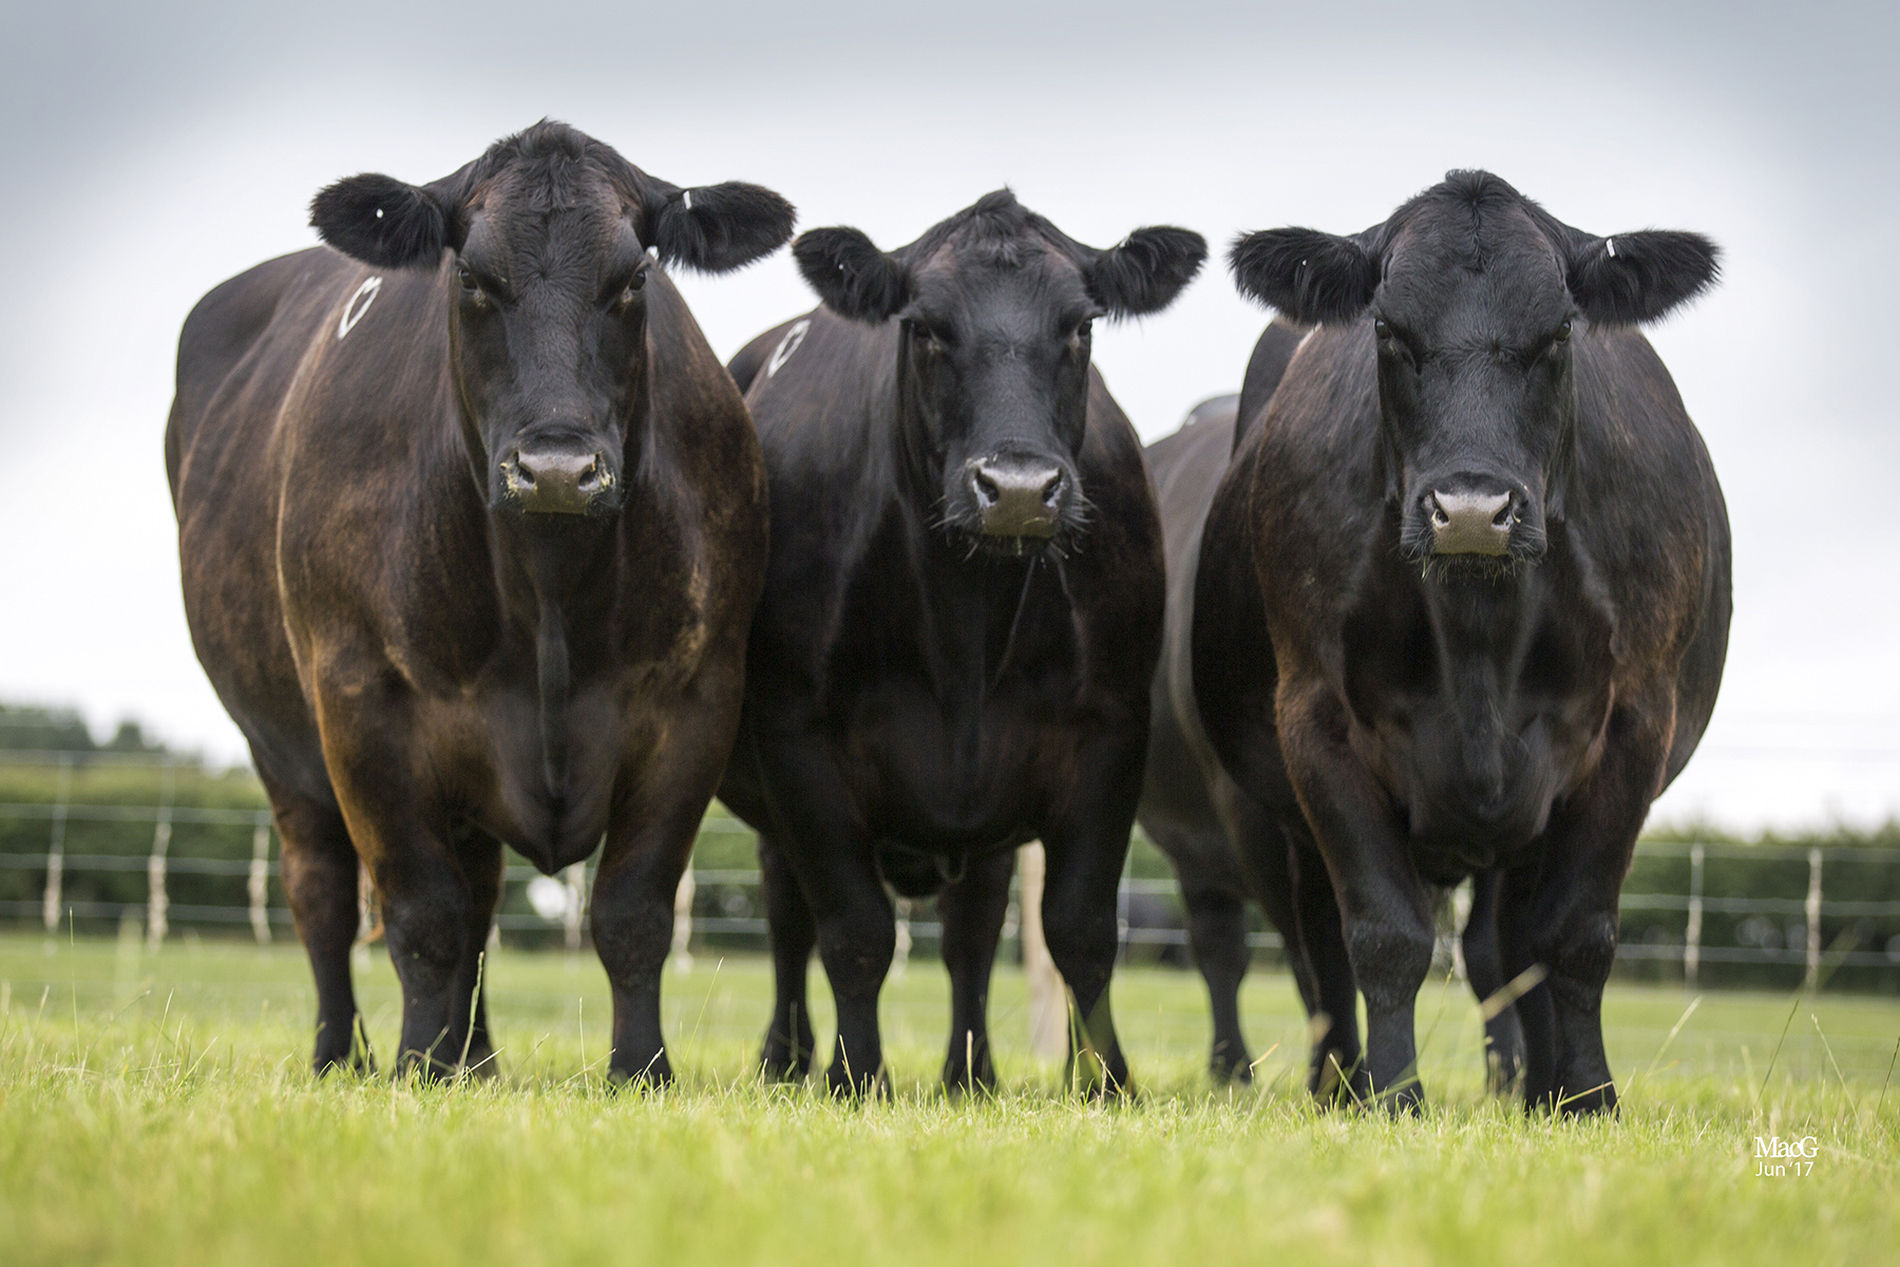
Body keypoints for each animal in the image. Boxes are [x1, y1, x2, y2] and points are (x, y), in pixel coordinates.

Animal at [165, 121, 793, 1082]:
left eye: (635, 277)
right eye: (470, 278)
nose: (557, 469)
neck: (549, 592)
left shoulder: (698, 702)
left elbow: (632, 912)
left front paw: (640, 1069)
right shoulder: (361, 704)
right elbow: (424, 915)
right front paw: (415, 1065)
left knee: (482, 898)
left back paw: (479, 1059)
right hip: (280, 745)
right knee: (323, 897)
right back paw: (344, 1054)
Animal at [718, 190, 1204, 1095]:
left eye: (1080, 325)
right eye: (926, 328)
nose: (1016, 488)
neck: (968, 629)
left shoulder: (1111, 735)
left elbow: (1079, 927)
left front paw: (1106, 1081)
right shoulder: (799, 742)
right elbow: (854, 929)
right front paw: (855, 1077)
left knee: (972, 931)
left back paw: (969, 1072)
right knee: (789, 916)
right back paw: (788, 1058)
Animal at [1139, 373, 1524, 1093]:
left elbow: (1492, 950)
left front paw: (1511, 1075)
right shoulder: (1267, 816)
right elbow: (1313, 952)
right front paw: (1343, 1074)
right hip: (1203, 840)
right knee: (1223, 944)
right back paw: (1234, 1065)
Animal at [1192, 171, 1730, 1113]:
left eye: (1560, 330)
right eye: (1386, 328)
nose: (1473, 510)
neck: (1483, 630)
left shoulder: (1635, 721)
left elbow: (1577, 935)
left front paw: (1588, 1097)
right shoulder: (1316, 720)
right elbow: (1381, 934)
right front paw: (1390, 1094)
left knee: (1508, 945)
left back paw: (1537, 1087)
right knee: (1321, 943)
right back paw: (1338, 1082)